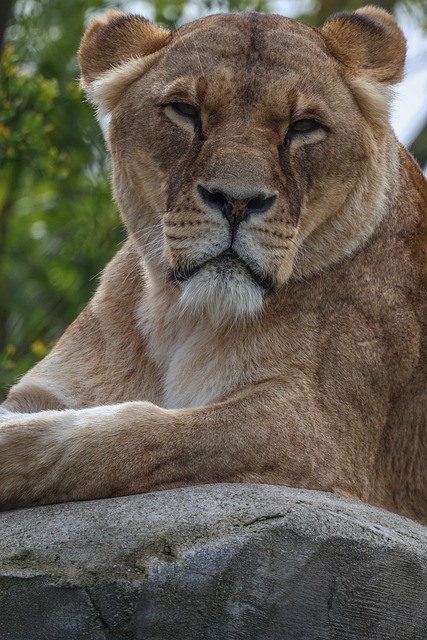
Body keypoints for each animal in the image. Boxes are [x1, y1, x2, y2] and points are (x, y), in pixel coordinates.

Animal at [0, 7, 426, 523]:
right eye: (185, 111)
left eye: (304, 126)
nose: (236, 201)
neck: (181, 315)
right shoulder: (46, 393)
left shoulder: (319, 436)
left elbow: (130, 435)